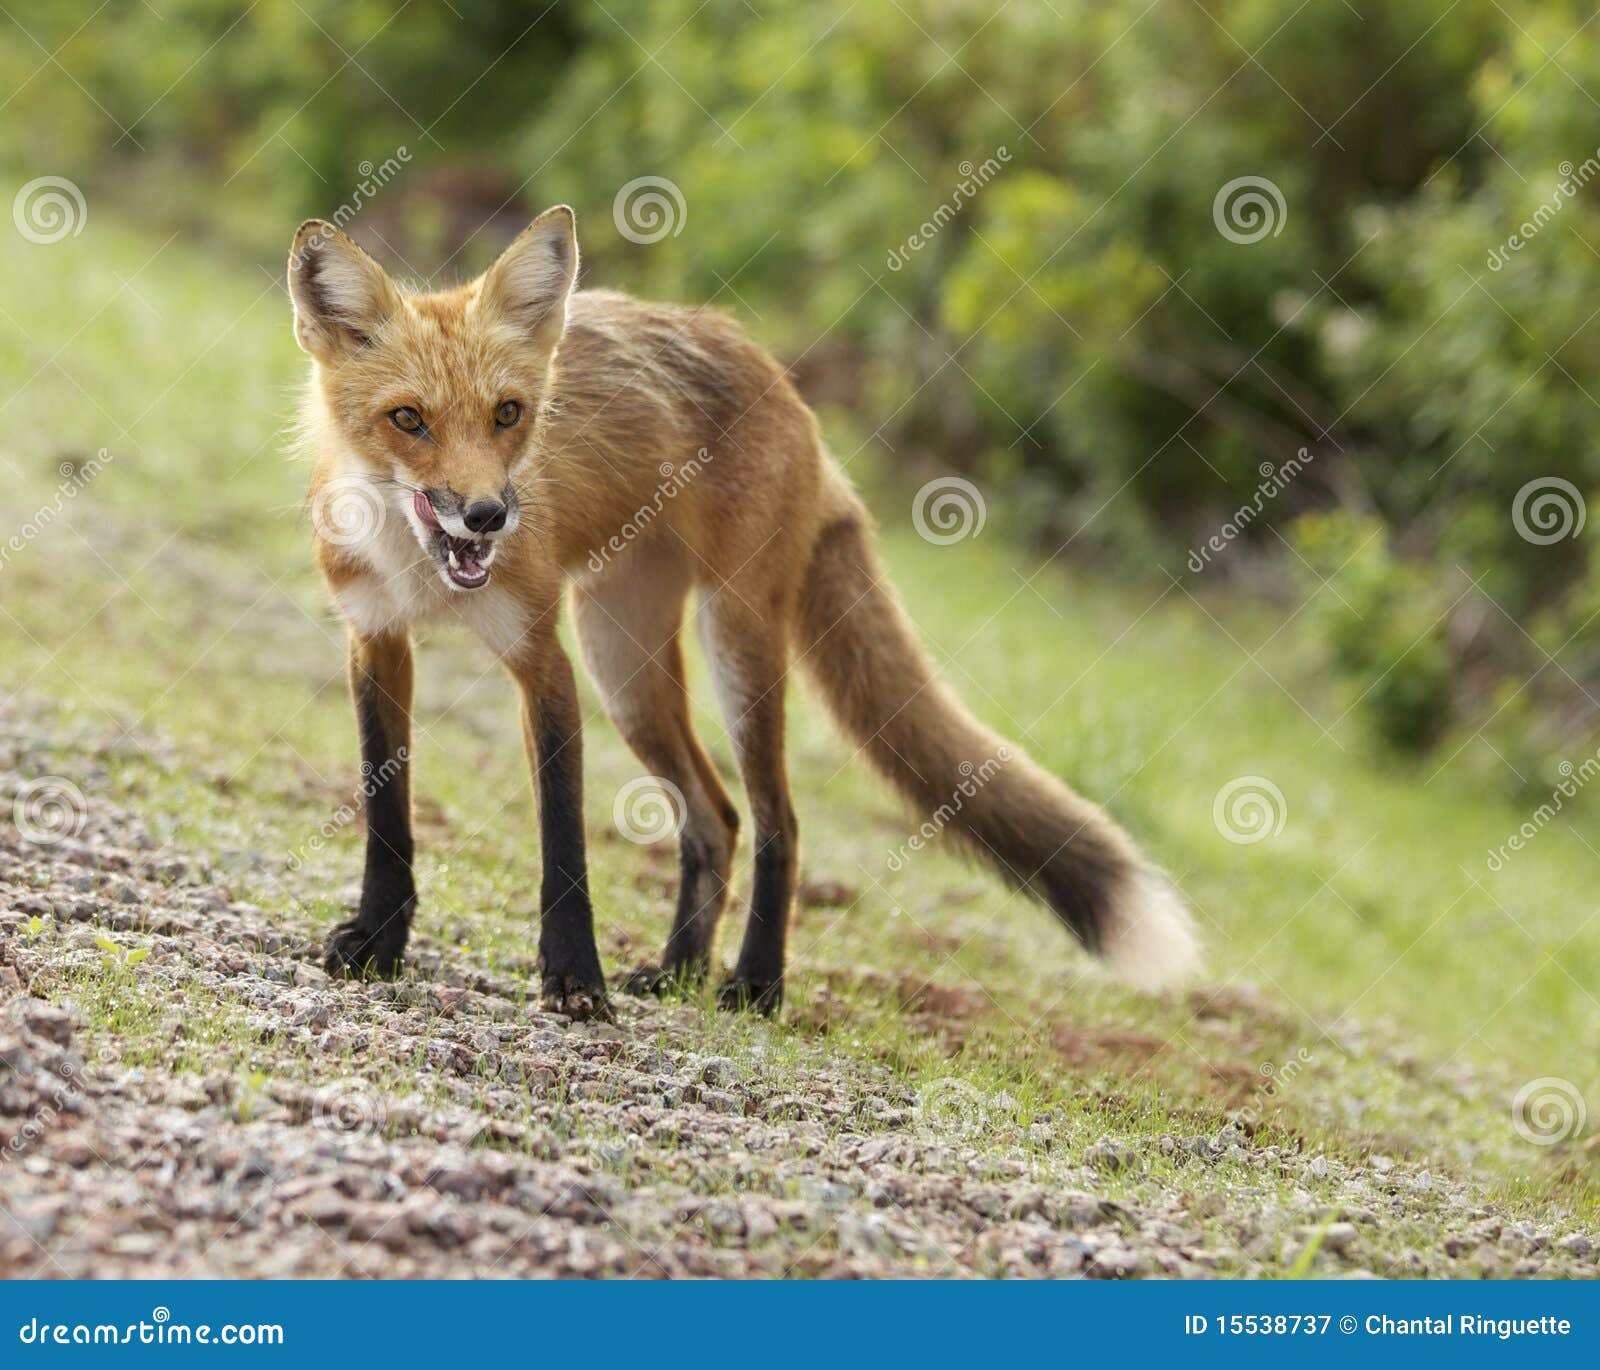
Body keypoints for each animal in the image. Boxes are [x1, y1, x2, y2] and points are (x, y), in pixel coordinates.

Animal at [287, 204, 1199, 1019]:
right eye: (409, 419)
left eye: (508, 414)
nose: (487, 517)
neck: (421, 571)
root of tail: (787, 387)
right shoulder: (376, 640)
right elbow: (388, 818)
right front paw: (378, 941)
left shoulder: (542, 659)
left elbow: (563, 841)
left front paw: (576, 978)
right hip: (625, 667)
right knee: (716, 820)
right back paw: (679, 970)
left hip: (730, 645)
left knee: (777, 822)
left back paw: (755, 984)